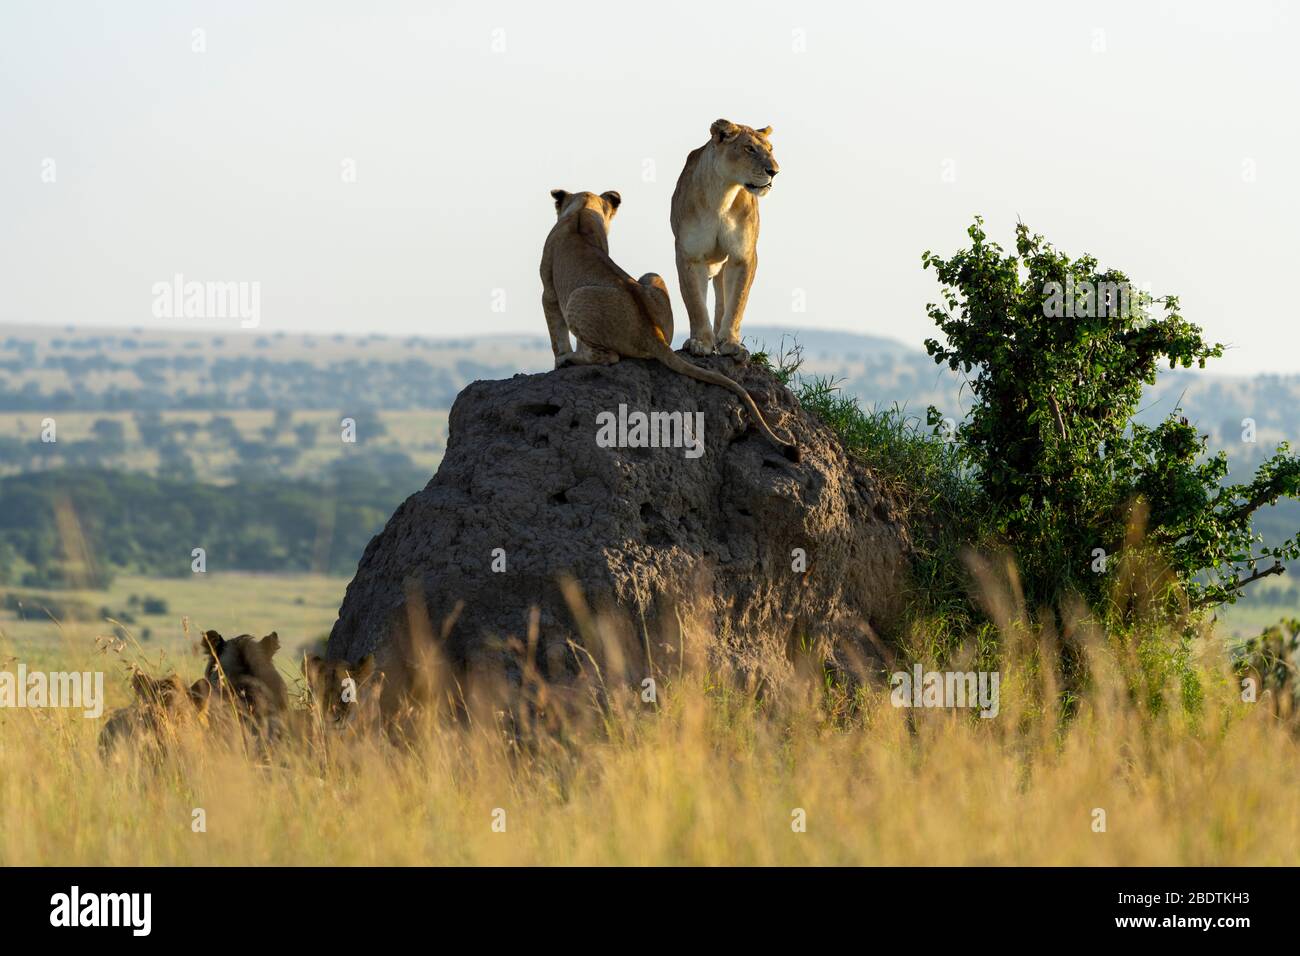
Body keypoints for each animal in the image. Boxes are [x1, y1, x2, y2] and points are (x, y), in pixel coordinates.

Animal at [540, 188, 798, 460]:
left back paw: (570, 361)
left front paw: (561, 358)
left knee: (608, 356)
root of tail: (652, 332)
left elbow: (556, 334)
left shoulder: (549, 291)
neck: (581, 210)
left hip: (577, 297)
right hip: (651, 277)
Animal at [670, 119, 780, 362]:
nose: (775, 171)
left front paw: (730, 343)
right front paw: (701, 342)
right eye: (749, 148)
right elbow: (695, 303)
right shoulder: (690, 255)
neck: (722, 195)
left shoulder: (743, 256)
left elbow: (737, 301)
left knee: (722, 301)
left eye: (770, 149)